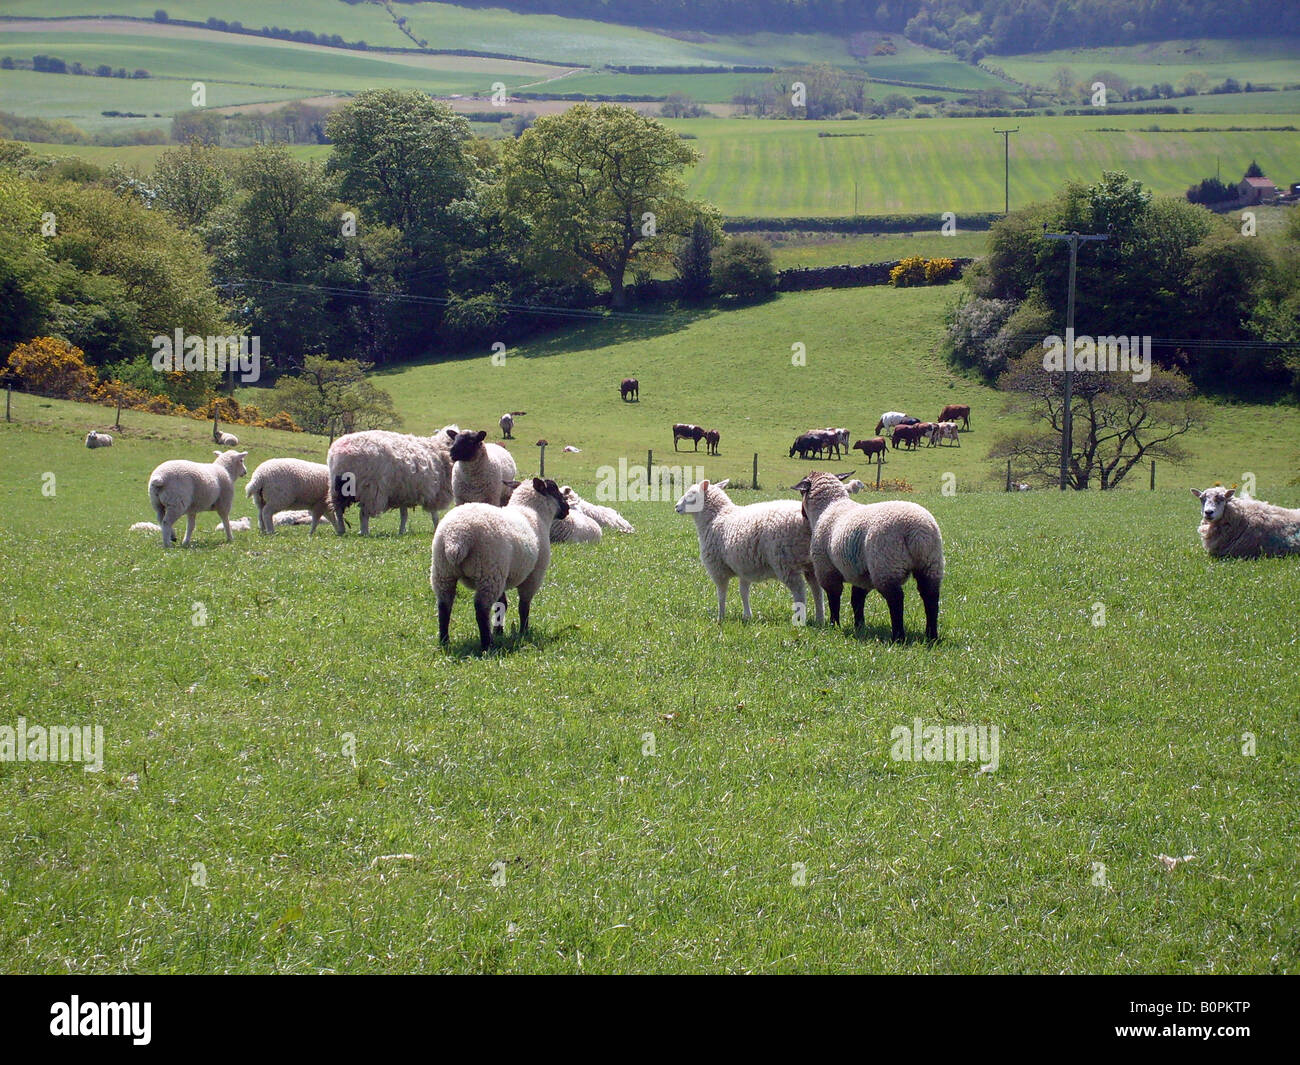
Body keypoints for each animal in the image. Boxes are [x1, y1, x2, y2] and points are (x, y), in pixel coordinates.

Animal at [328, 425, 458, 536]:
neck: (439, 450)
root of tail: (341, 454)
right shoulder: (434, 492)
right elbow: (434, 515)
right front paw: (437, 528)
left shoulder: (403, 492)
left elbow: (404, 515)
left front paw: (402, 531)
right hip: (369, 489)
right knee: (363, 513)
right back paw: (364, 532)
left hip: (337, 488)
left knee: (338, 510)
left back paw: (341, 530)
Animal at [431, 477, 570, 652]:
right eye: (554, 489)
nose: (567, 509)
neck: (532, 512)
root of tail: (456, 537)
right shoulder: (533, 575)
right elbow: (524, 606)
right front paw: (523, 631)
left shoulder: (504, 574)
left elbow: (501, 604)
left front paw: (499, 631)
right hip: (489, 572)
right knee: (481, 609)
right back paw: (487, 645)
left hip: (443, 571)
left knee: (444, 606)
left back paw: (444, 641)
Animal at [675, 477, 824, 625]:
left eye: (691, 495)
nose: (676, 507)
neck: (716, 516)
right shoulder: (744, 567)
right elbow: (743, 592)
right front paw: (747, 615)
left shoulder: (718, 568)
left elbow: (721, 594)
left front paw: (720, 617)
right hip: (811, 562)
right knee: (817, 589)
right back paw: (820, 618)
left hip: (785, 561)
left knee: (799, 591)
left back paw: (800, 620)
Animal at [792, 471, 943, 641]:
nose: (802, 514)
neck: (829, 506)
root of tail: (917, 530)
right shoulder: (861, 573)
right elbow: (857, 599)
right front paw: (859, 626)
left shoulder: (827, 569)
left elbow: (834, 598)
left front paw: (834, 624)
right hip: (931, 564)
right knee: (931, 597)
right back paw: (931, 636)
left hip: (885, 565)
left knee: (896, 600)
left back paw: (898, 636)